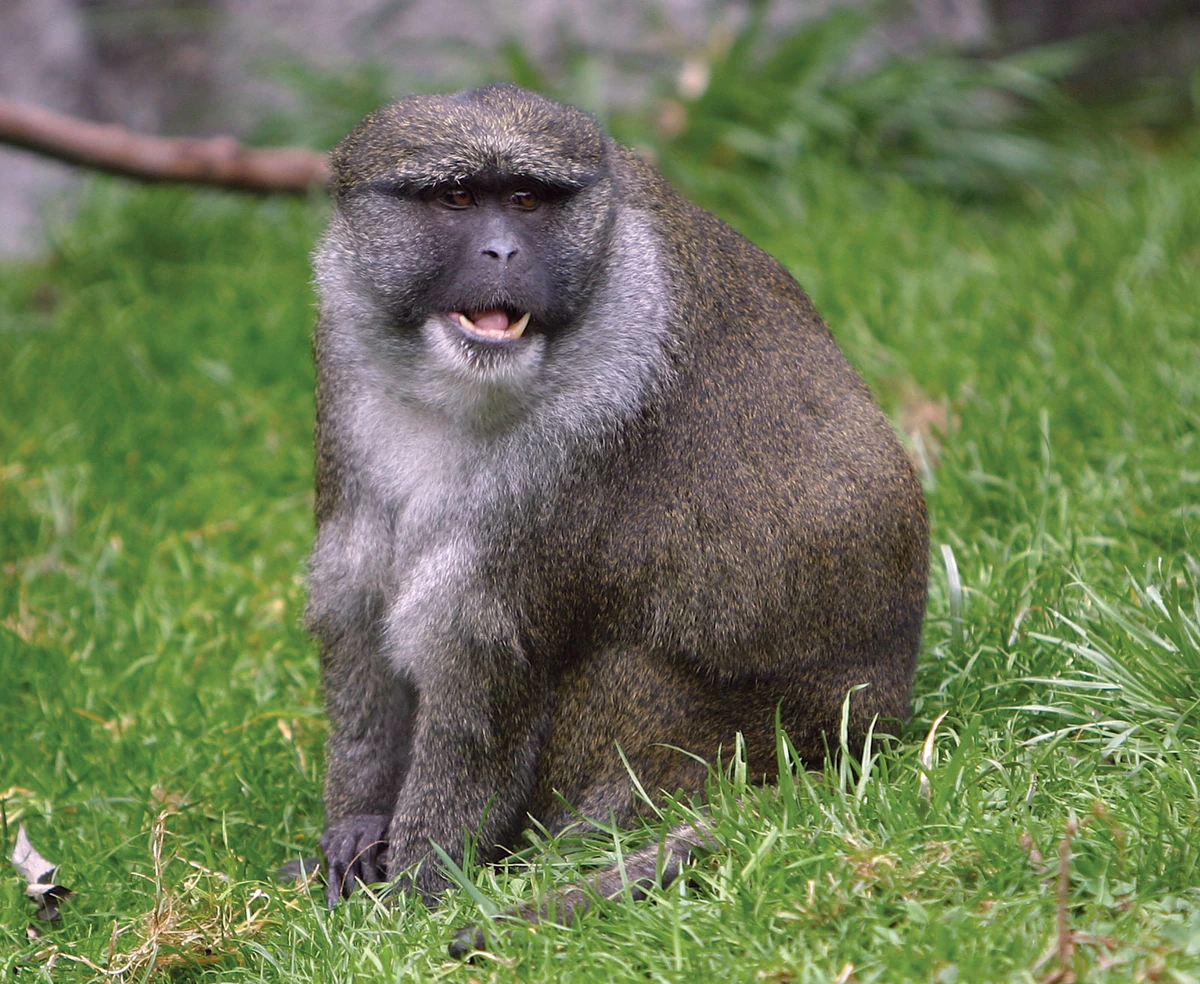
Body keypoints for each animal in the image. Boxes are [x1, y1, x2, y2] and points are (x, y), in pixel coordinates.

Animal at [305, 83, 928, 941]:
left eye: (528, 200)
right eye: (457, 198)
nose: (502, 254)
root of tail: (868, 735)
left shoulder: (586, 428)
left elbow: (483, 662)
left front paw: (414, 896)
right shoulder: (343, 353)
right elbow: (358, 603)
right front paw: (357, 827)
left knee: (628, 673)